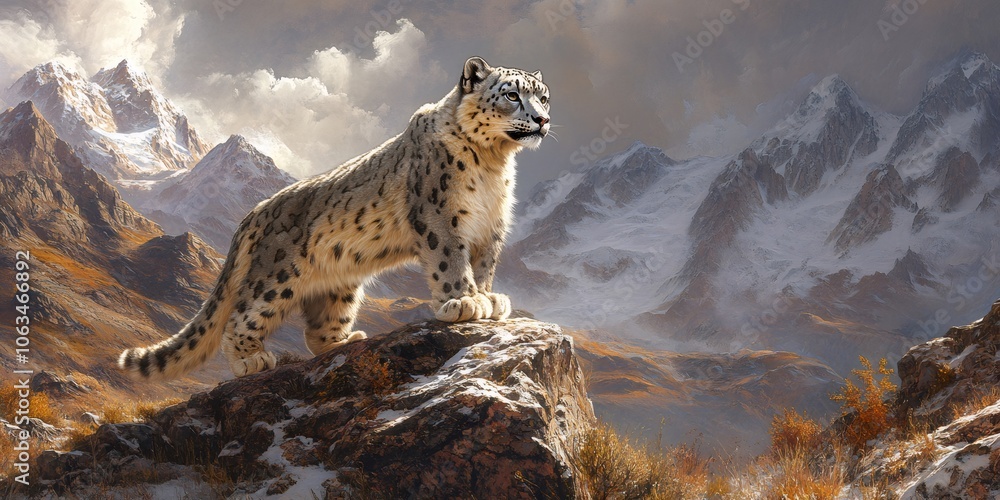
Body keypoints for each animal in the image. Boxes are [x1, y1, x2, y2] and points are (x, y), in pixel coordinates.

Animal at [119, 56, 550, 379]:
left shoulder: (490, 228)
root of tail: (256, 211)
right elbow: (451, 262)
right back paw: (251, 360)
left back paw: (346, 341)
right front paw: (464, 302)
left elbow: (484, 266)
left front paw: (489, 298)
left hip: (340, 285)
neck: (493, 161)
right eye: (512, 94)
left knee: (317, 329)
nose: (543, 121)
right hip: (276, 275)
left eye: (544, 97)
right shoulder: (442, 215)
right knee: (242, 314)